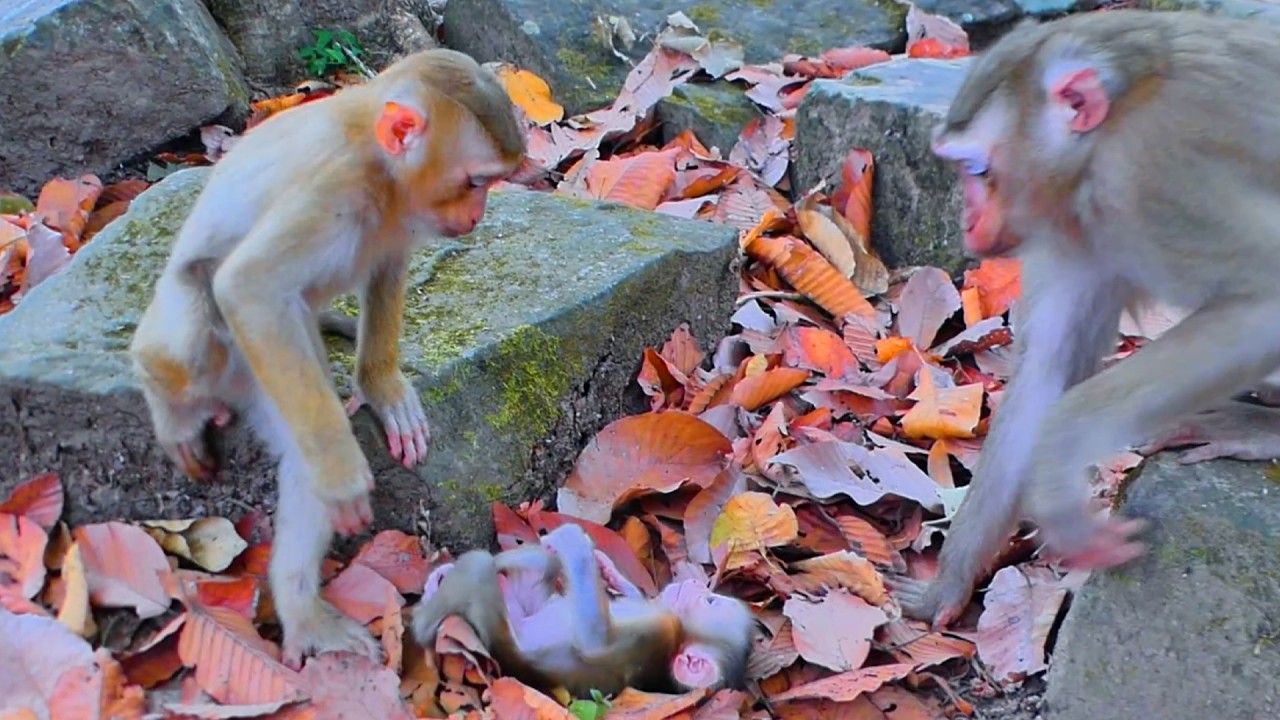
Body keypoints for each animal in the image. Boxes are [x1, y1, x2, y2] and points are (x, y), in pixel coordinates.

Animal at [127, 48, 526, 666]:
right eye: (476, 182)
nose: (478, 215)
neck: (380, 165)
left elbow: (387, 263)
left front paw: (382, 388)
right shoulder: (335, 187)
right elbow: (249, 286)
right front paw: (342, 475)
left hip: (267, 373)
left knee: (299, 456)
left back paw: (301, 612)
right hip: (236, 342)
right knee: (191, 329)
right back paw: (167, 398)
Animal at [412, 523, 756, 697]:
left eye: (710, 602)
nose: (698, 584)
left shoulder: (658, 637)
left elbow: (595, 642)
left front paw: (573, 540)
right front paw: (606, 568)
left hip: (494, 627)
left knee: (479, 569)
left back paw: (425, 618)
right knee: (539, 567)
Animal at [890, 10, 1280, 628]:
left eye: (978, 169)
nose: (967, 220)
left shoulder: (1148, 173)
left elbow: (1265, 304)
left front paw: (1058, 477)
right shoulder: (1069, 226)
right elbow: (1047, 372)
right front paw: (944, 588)